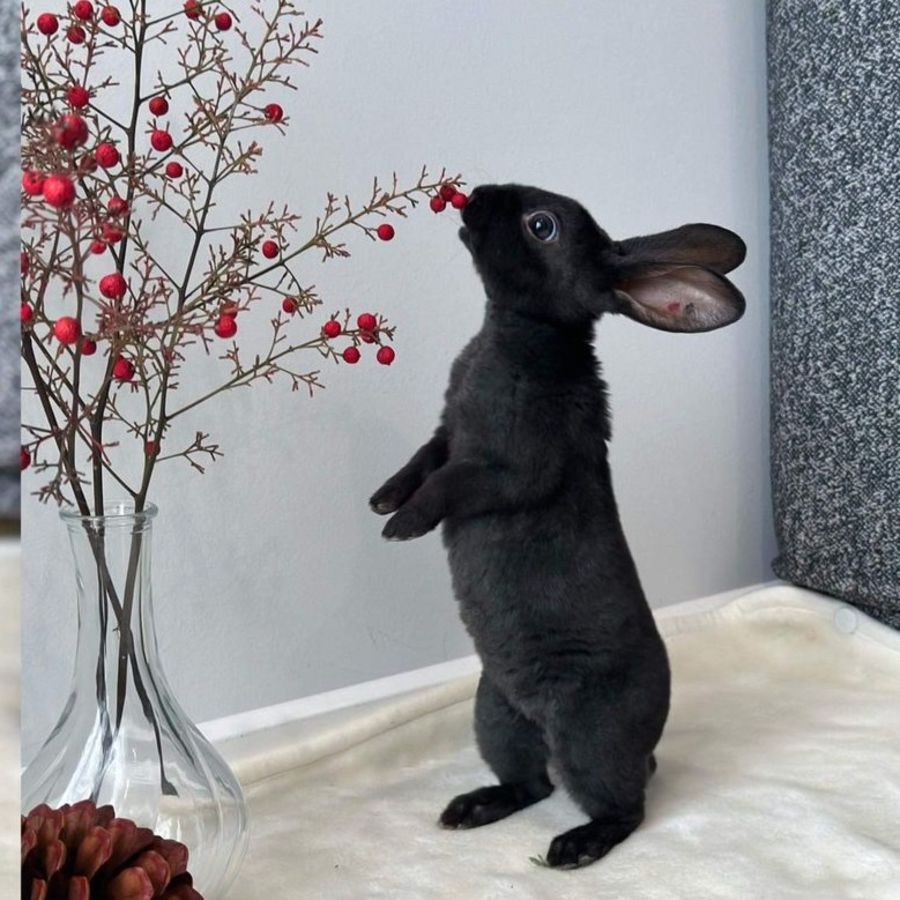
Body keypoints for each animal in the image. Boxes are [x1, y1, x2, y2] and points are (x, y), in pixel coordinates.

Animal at [370, 183, 746, 869]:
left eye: (541, 226)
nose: (474, 196)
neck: (521, 334)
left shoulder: (512, 467)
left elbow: (449, 484)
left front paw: (403, 527)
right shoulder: (444, 434)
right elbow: (421, 462)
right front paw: (383, 502)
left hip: (587, 739)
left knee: (623, 807)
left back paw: (573, 848)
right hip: (494, 716)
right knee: (531, 784)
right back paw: (470, 810)